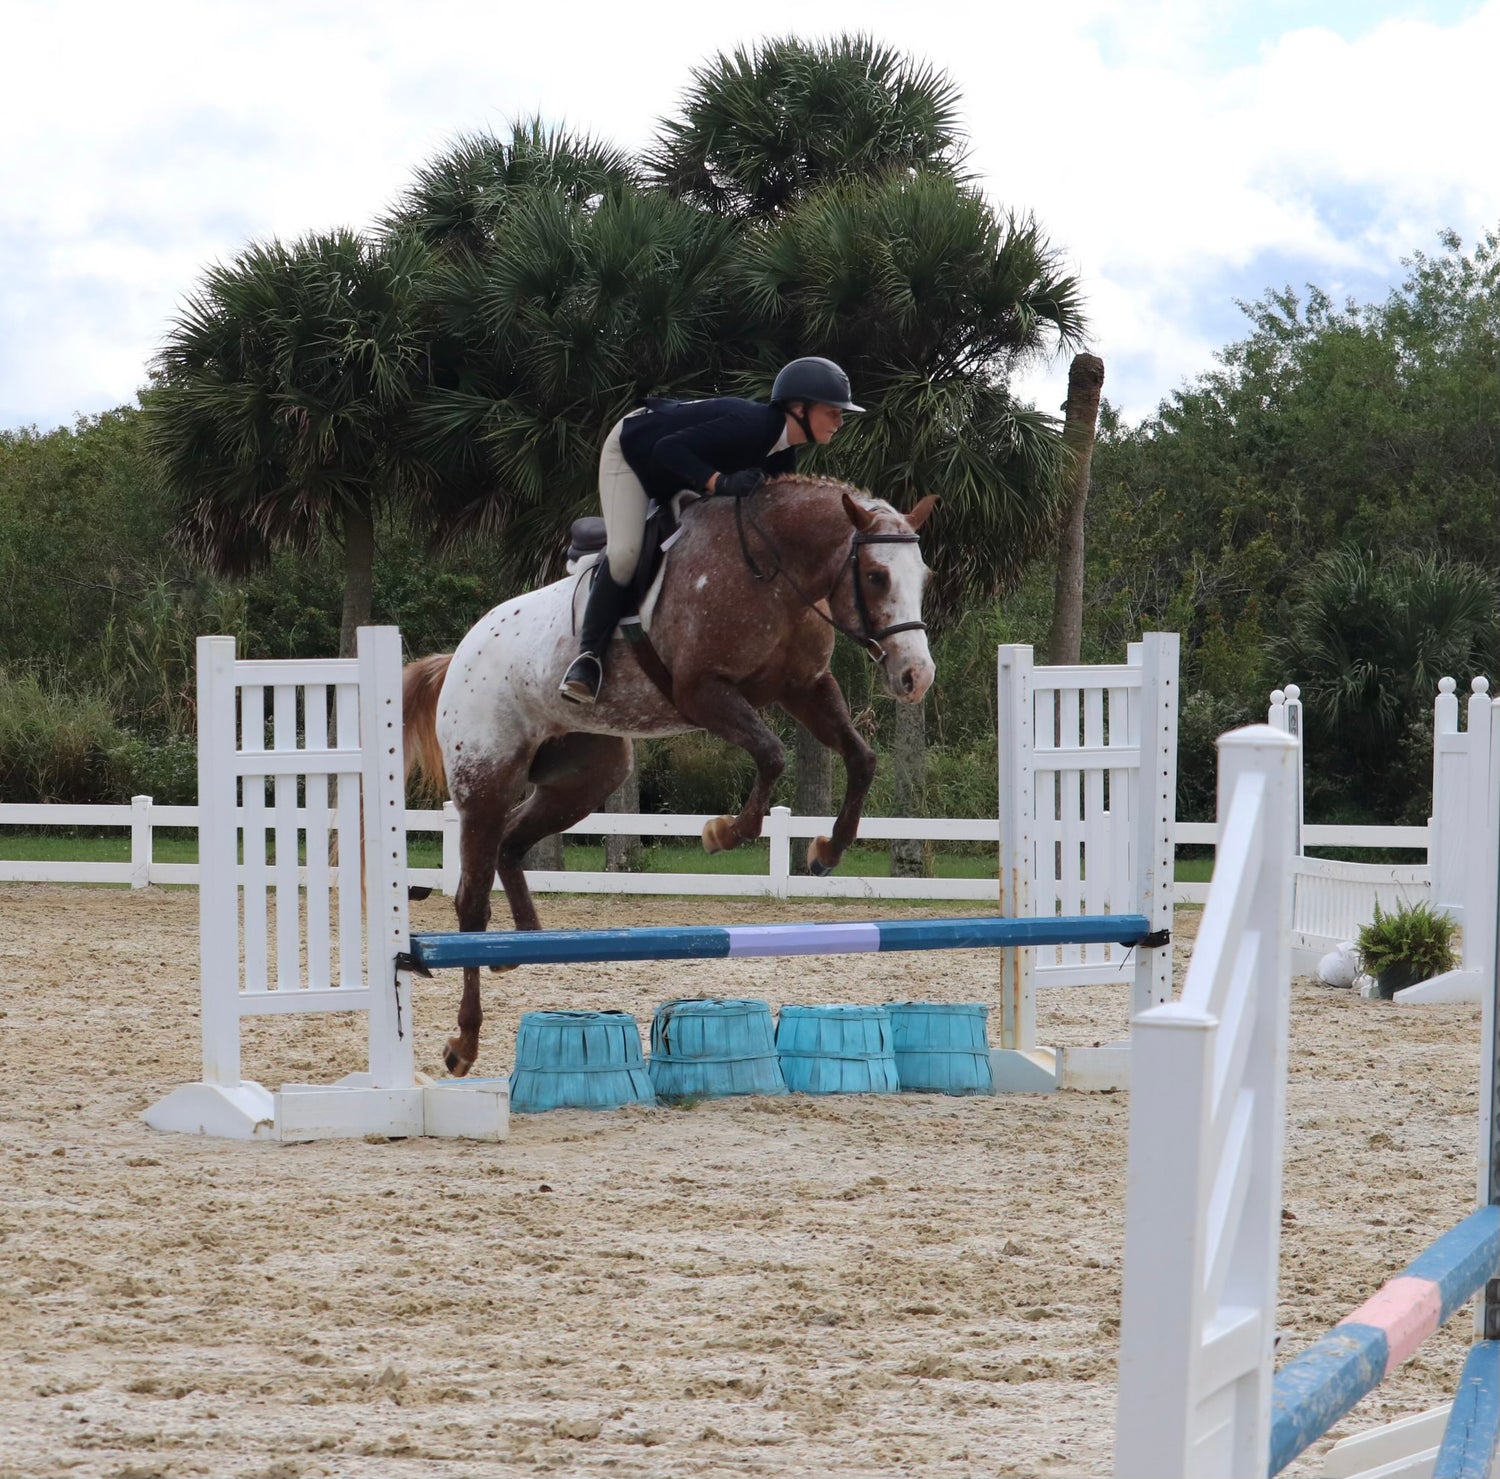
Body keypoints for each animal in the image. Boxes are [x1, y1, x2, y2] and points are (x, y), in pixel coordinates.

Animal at [403, 474, 938, 1076]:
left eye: (924, 577)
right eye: (875, 575)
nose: (917, 676)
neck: (773, 568)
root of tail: (459, 654)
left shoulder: (804, 688)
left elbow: (861, 759)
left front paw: (826, 851)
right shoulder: (702, 692)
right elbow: (773, 754)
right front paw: (725, 832)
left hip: (591, 776)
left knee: (513, 843)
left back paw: (523, 946)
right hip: (486, 777)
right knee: (471, 898)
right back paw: (463, 1041)